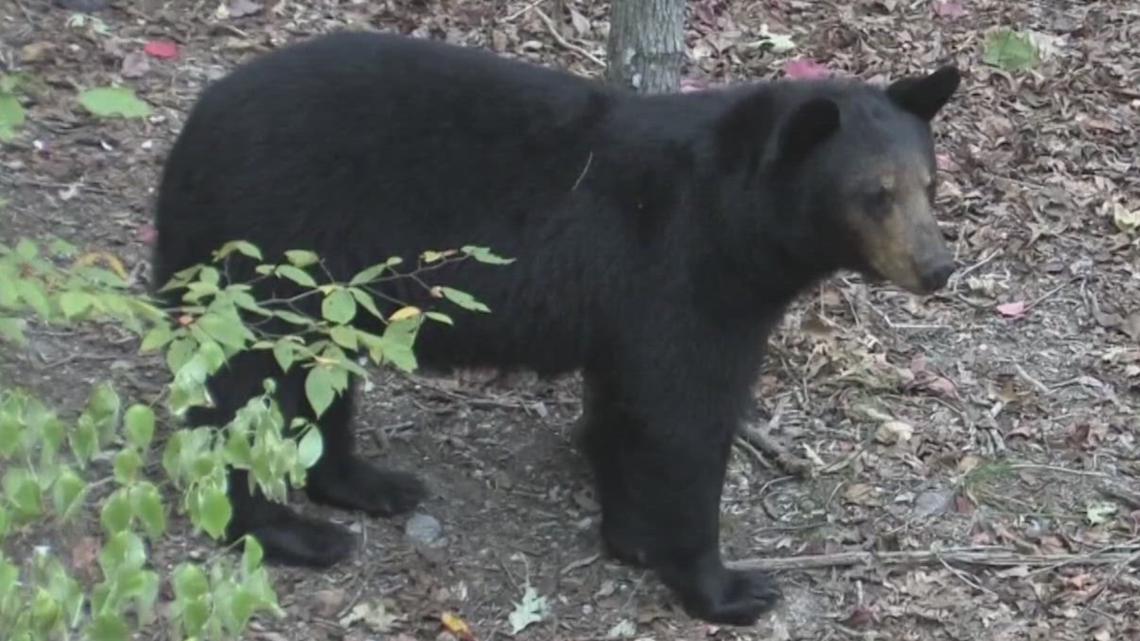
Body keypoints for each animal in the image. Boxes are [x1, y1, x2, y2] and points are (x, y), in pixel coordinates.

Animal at [150, 31, 960, 626]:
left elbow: (626, 406)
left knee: (317, 379)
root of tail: (191, 132)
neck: (739, 222)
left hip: (328, 293)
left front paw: (631, 534)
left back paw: (370, 483)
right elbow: (685, 419)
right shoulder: (684, 276)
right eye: (874, 193)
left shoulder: (638, 304)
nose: (937, 266)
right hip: (265, 252)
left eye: (929, 183)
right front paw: (726, 585)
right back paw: (288, 530)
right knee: (241, 391)